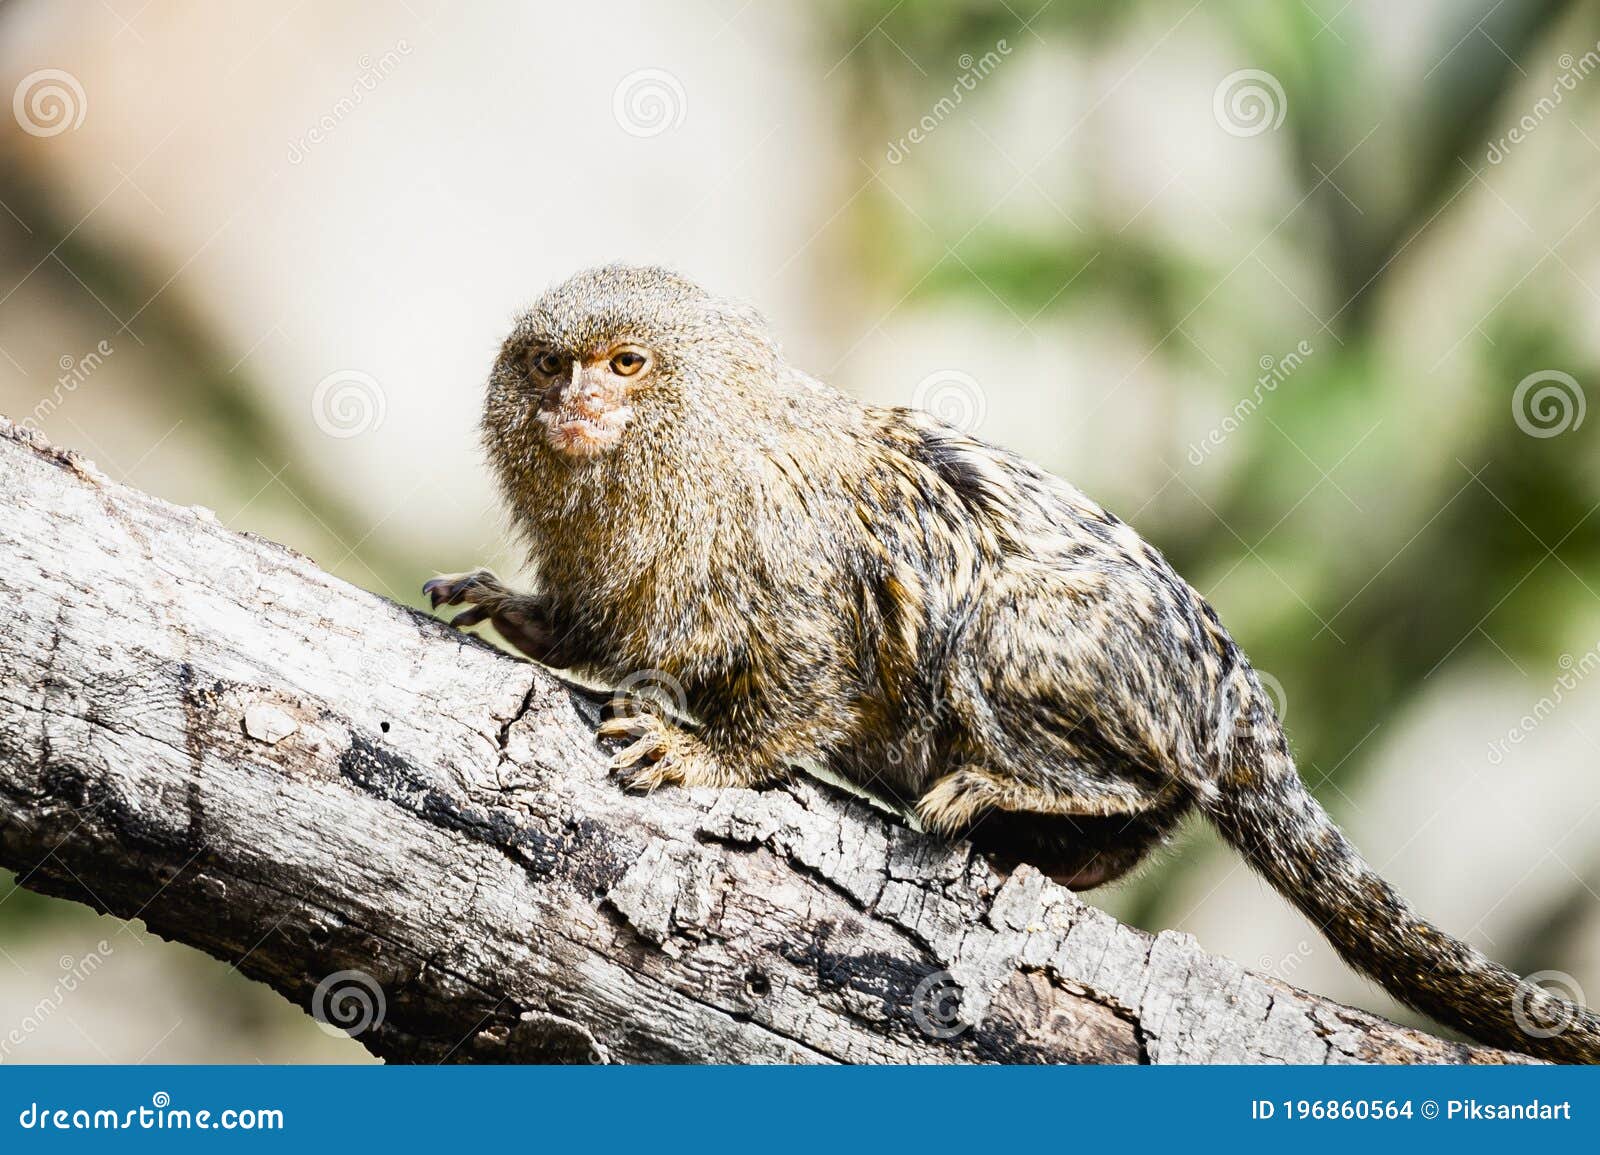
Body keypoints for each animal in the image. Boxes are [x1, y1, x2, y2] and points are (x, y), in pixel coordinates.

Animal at [425, 263, 1599, 1063]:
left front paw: (707, 752)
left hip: (1084, 659)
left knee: (1041, 679)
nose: (575, 404)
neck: (692, 462)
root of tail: (1228, 687)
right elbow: (586, 630)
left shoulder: (790, 565)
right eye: (552, 364)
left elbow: (814, 676)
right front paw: (512, 609)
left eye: (626, 365)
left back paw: (1012, 786)